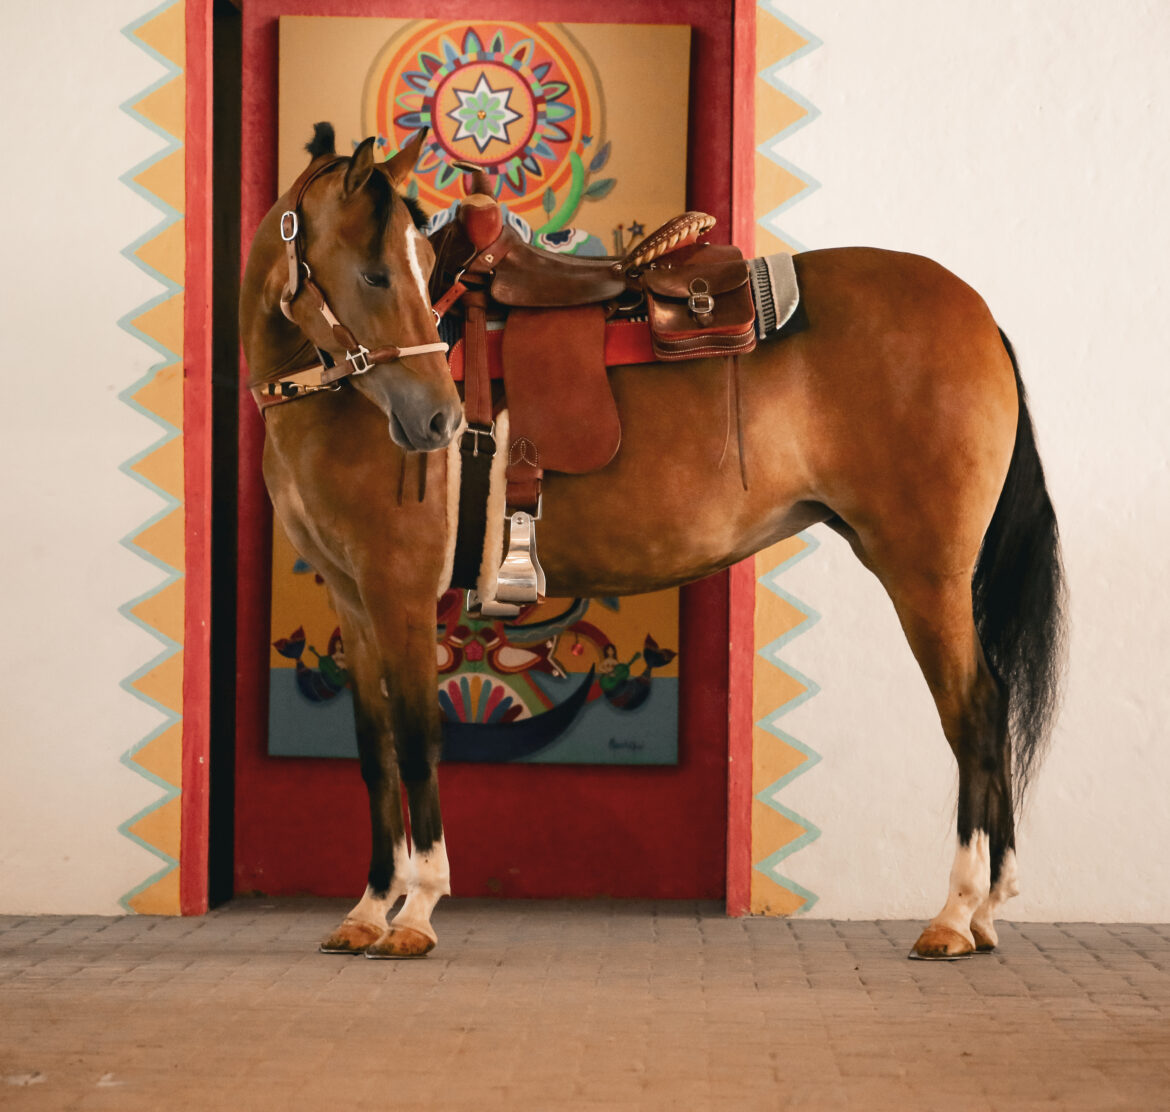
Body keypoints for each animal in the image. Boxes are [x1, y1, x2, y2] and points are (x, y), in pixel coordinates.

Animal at [240, 125, 1064, 961]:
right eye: (375, 274)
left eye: (403, 273)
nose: (436, 420)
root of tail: (977, 314)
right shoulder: (353, 599)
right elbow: (374, 751)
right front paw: (369, 909)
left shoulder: (400, 589)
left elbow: (417, 741)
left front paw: (416, 911)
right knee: (990, 708)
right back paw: (987, 911)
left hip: (925, 574)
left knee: (972, 715)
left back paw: (956, 913)